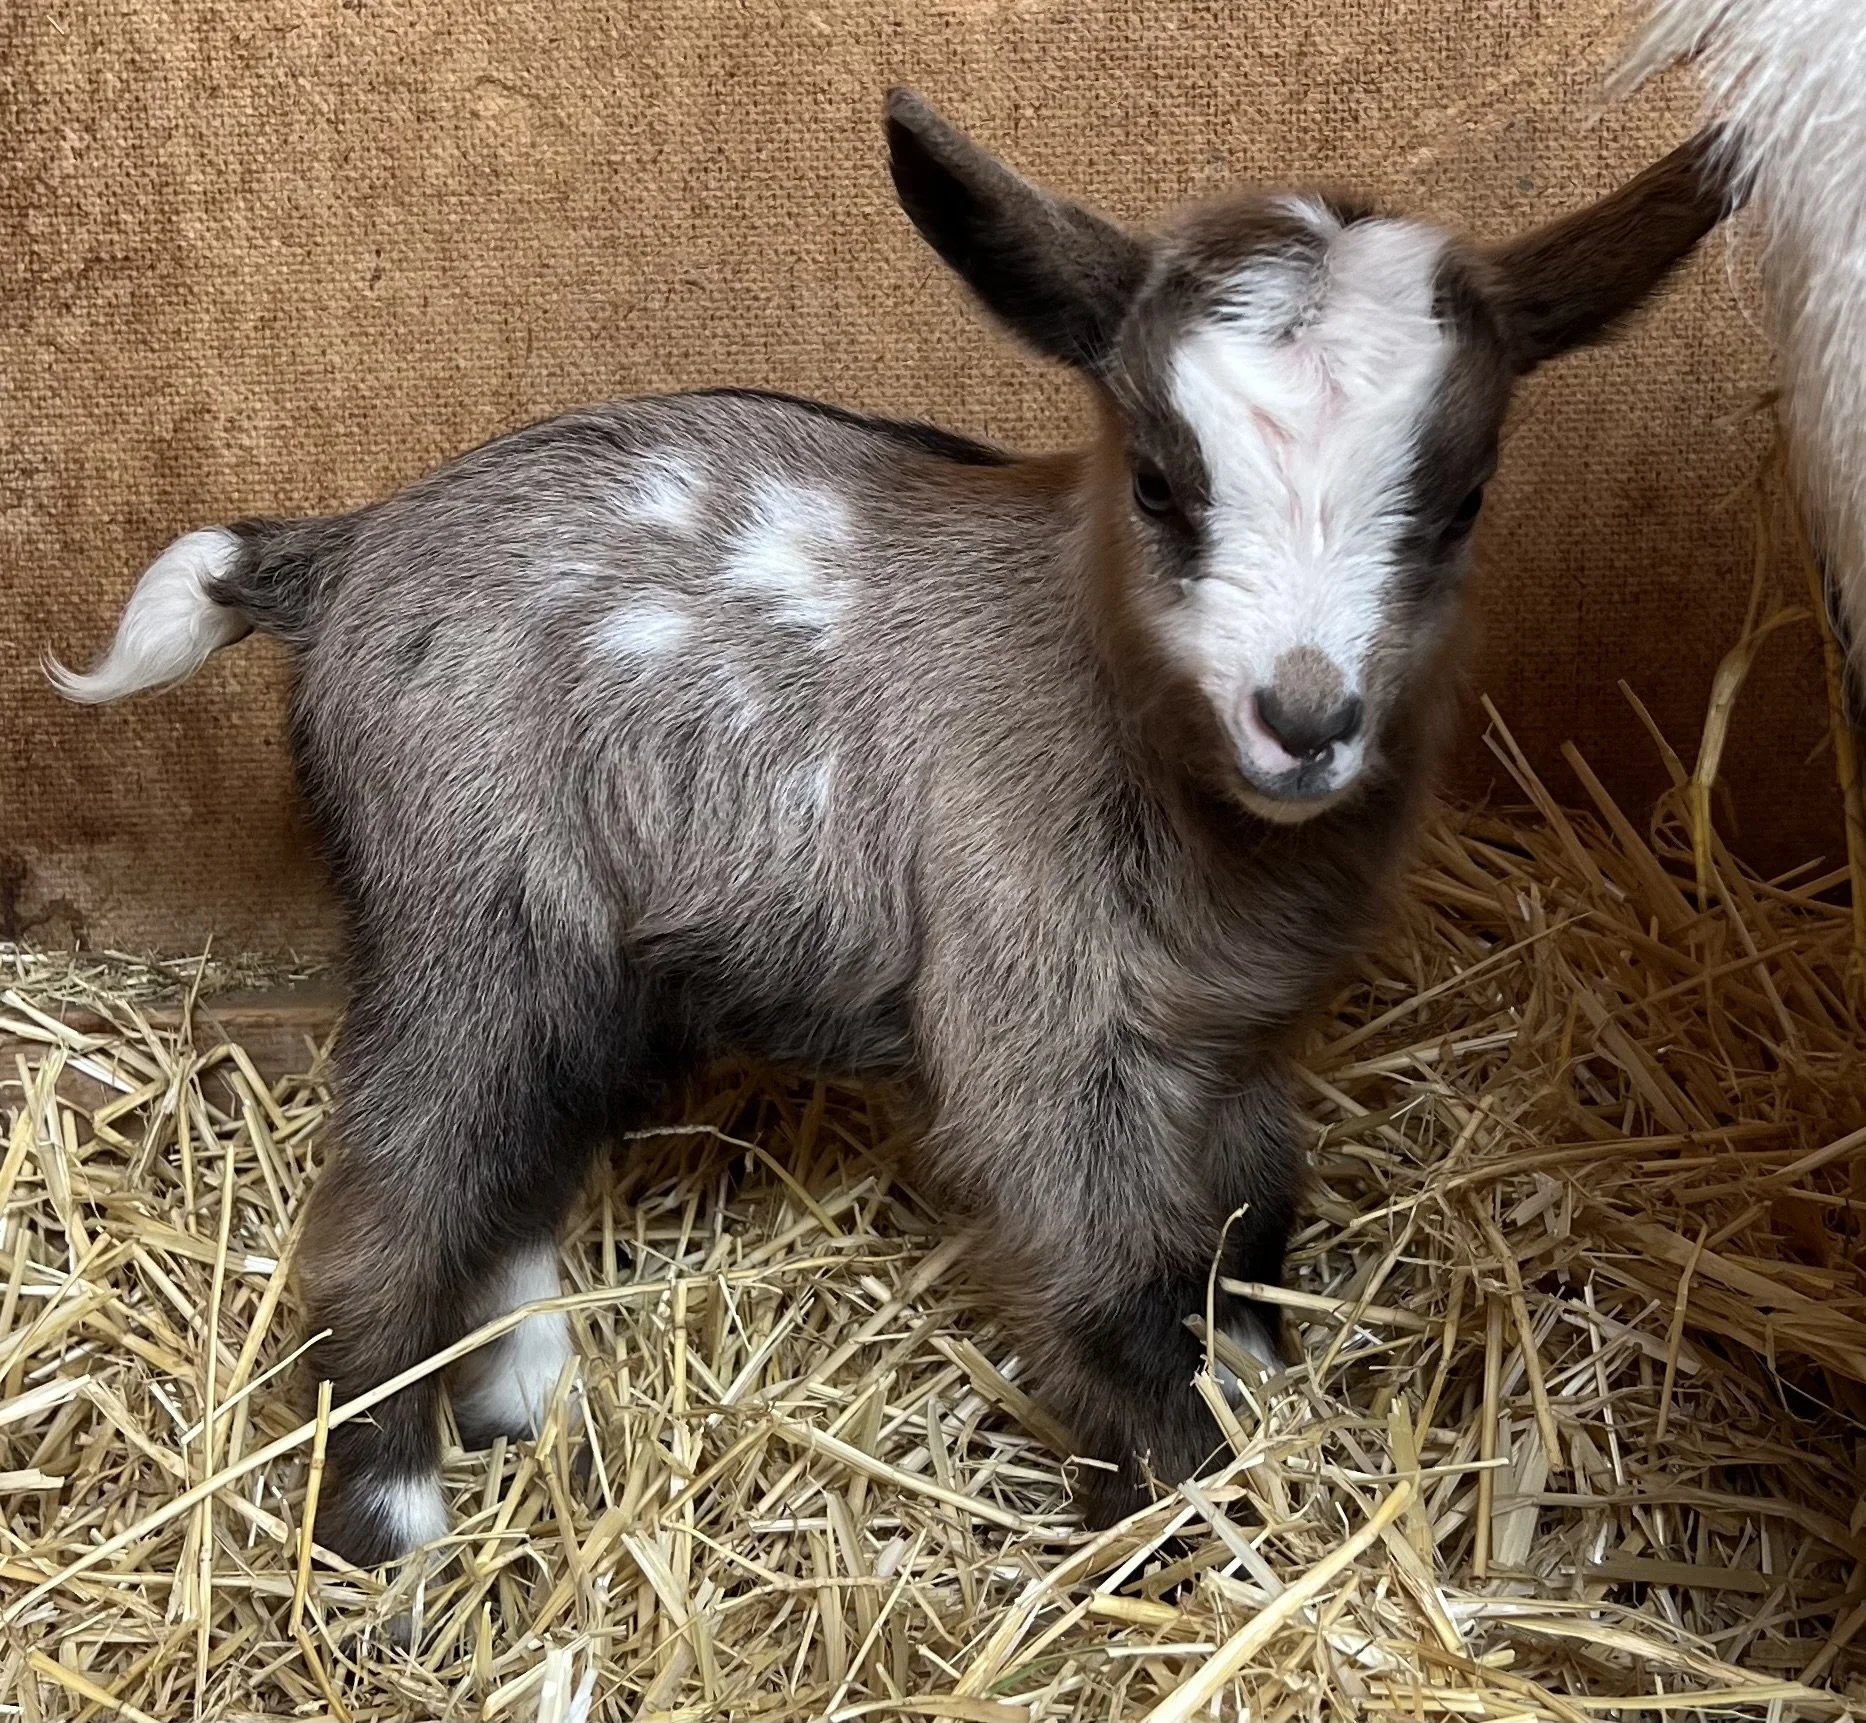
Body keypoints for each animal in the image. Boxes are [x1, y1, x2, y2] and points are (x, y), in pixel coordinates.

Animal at [48, 91, 1726, 1565]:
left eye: (1462, 495)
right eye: (1159, 480)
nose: (1303, 717)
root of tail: (335, 553)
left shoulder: (1231, 1028)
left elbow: (1251, 1210)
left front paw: (1257, 1370)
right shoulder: (1038, 1029)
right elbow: (1116, 1289)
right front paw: (1191, 1527)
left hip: (594, 952)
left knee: (525, 1135)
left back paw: (529, 1390)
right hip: (466, 895)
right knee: (395, 1182)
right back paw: (386, 1521)